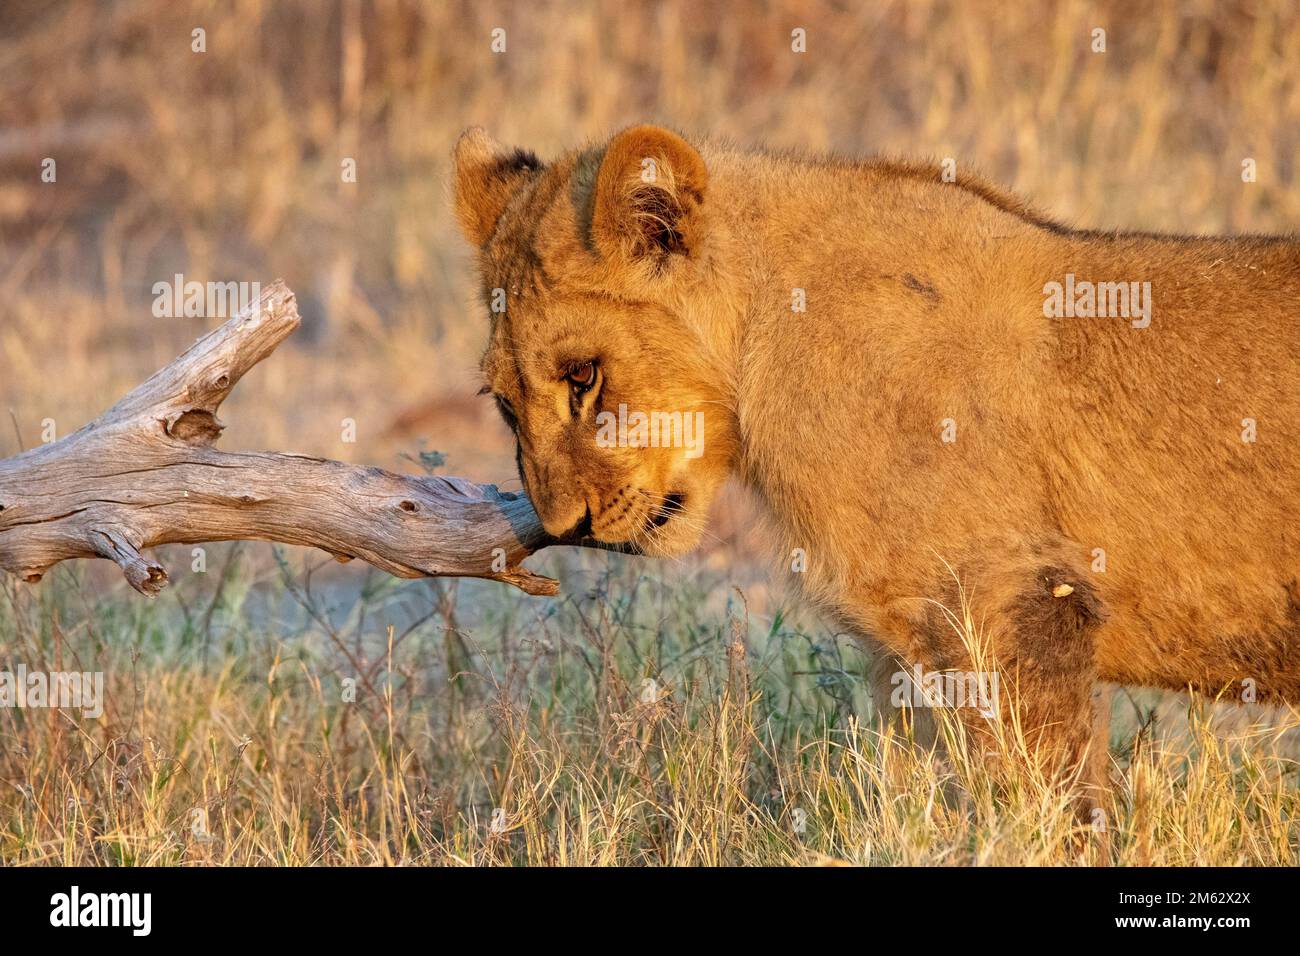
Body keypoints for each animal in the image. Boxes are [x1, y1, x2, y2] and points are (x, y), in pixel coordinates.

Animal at [452, 123, 1300, 813]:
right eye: (504, 406)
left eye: (583, 376)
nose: (569, 528)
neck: (764, 342)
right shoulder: (912, 651)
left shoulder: (1014, 598)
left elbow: (1051, 804)